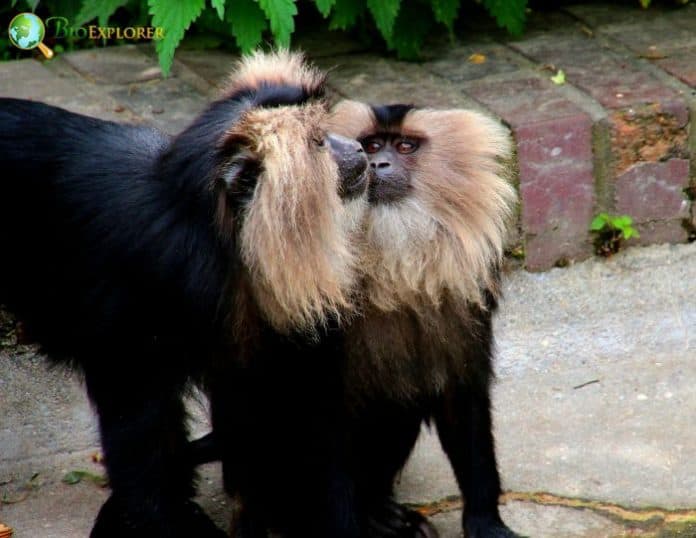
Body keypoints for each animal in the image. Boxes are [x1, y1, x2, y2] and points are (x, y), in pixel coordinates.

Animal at [0, 51, 369, 538]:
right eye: (319, 143)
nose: (361, 150)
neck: (219, 239)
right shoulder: (130, 317)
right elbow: (139, 428)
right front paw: (162, 518)